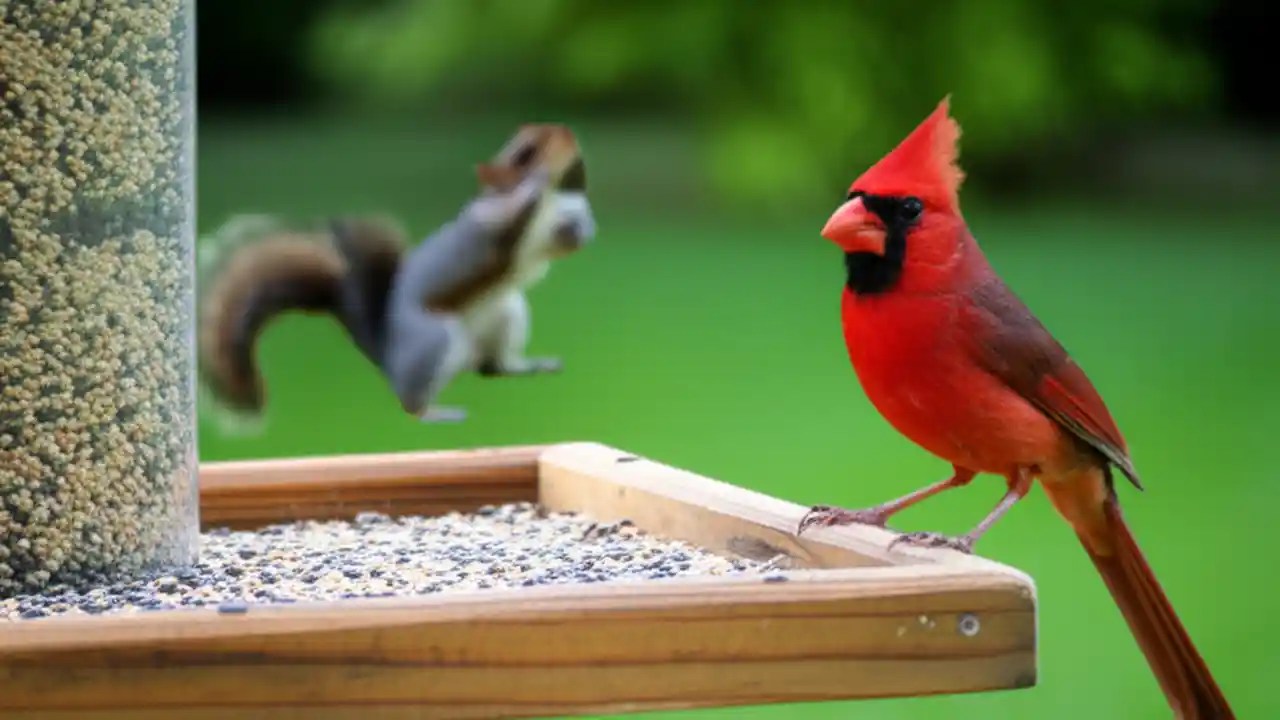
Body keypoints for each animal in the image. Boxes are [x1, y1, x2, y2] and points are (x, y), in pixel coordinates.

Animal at [196, 124, 596, 427]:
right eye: (525, 153)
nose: (568, 133)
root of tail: (390, 360)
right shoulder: (488, 224)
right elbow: (509, 218)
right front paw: (535, 184)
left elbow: (566, 237)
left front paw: (581, 229)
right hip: (435, 339)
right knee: (414, 403)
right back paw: (435, 413)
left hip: (508, 313)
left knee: (493, 367)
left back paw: (528, 365)